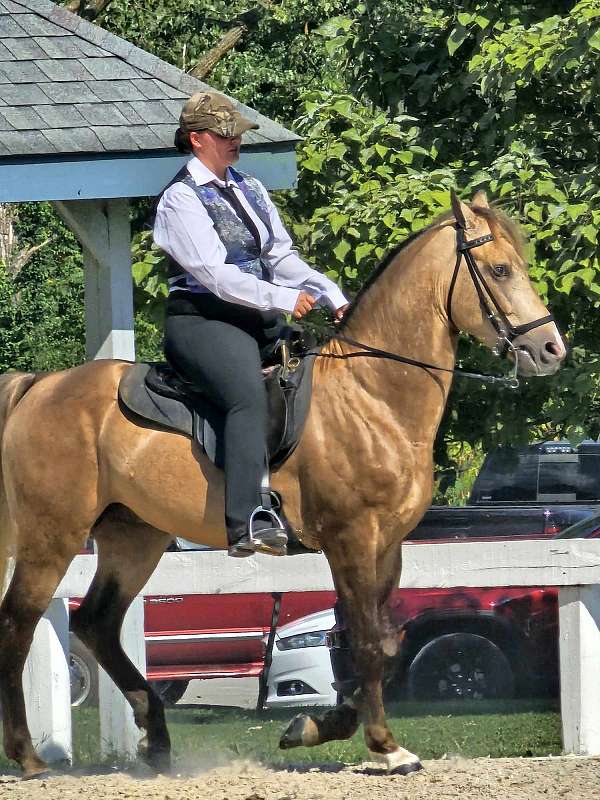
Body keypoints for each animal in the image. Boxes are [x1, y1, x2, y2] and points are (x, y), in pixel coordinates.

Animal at [0, 191, 565, 778]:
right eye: (499, 270)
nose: (551, 349)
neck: (372, 397)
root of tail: (40, 386)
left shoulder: (386, 546)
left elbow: (378, 643)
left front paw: (317, 726)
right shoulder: (351, 539)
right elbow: (364, 642)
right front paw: (386, 747)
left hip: (133, 536)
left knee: (97, 623)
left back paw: (155, 741)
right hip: (54, 536)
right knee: (18, 623)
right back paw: (28, 756)